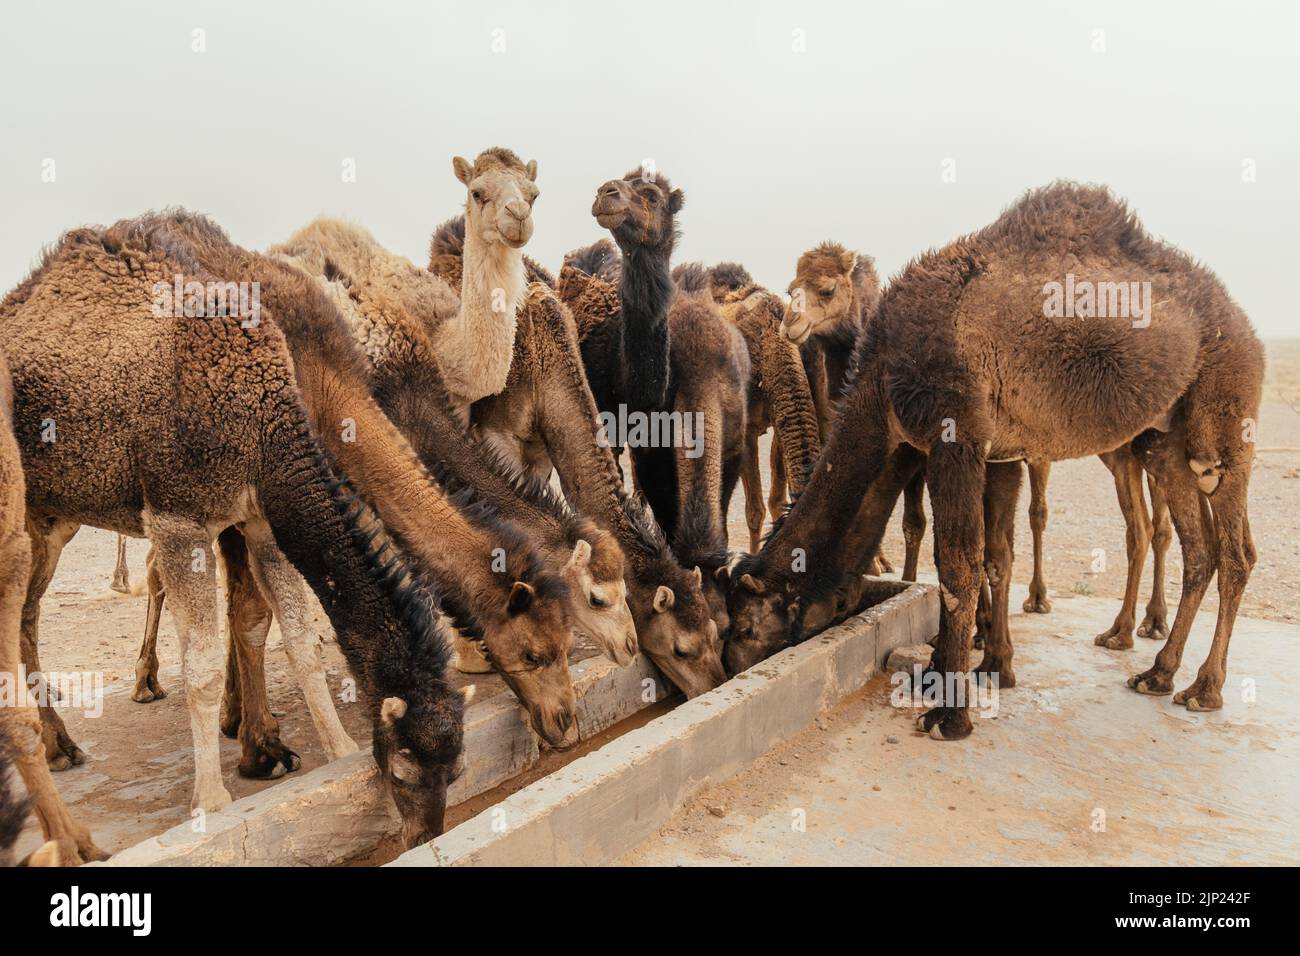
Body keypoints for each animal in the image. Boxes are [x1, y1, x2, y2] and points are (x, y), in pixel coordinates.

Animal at [2, 214, 467, 848]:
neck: (263, 416)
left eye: (456, 769)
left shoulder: (263, 518)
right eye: (401, 771)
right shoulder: (179, 518)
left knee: (27, 616)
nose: (428, 834)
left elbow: (299, 641)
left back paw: (61, 745)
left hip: (51, 515)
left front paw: (336, 748)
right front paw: (211, 800)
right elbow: (198, 667)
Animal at [726, 182, 1263, 741]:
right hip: (1164, 439)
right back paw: (1159, 672)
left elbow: (956, 565)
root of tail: (1242, 322)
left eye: (744, 626)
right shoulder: (992, 452)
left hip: (1225, 412)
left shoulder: (955, 433)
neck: (881, 383)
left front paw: (949, 712)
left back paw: (1204, 688)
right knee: (1198, 549)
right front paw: (988, 667)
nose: (729, 666)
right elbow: (994, 556)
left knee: (1236, 551)